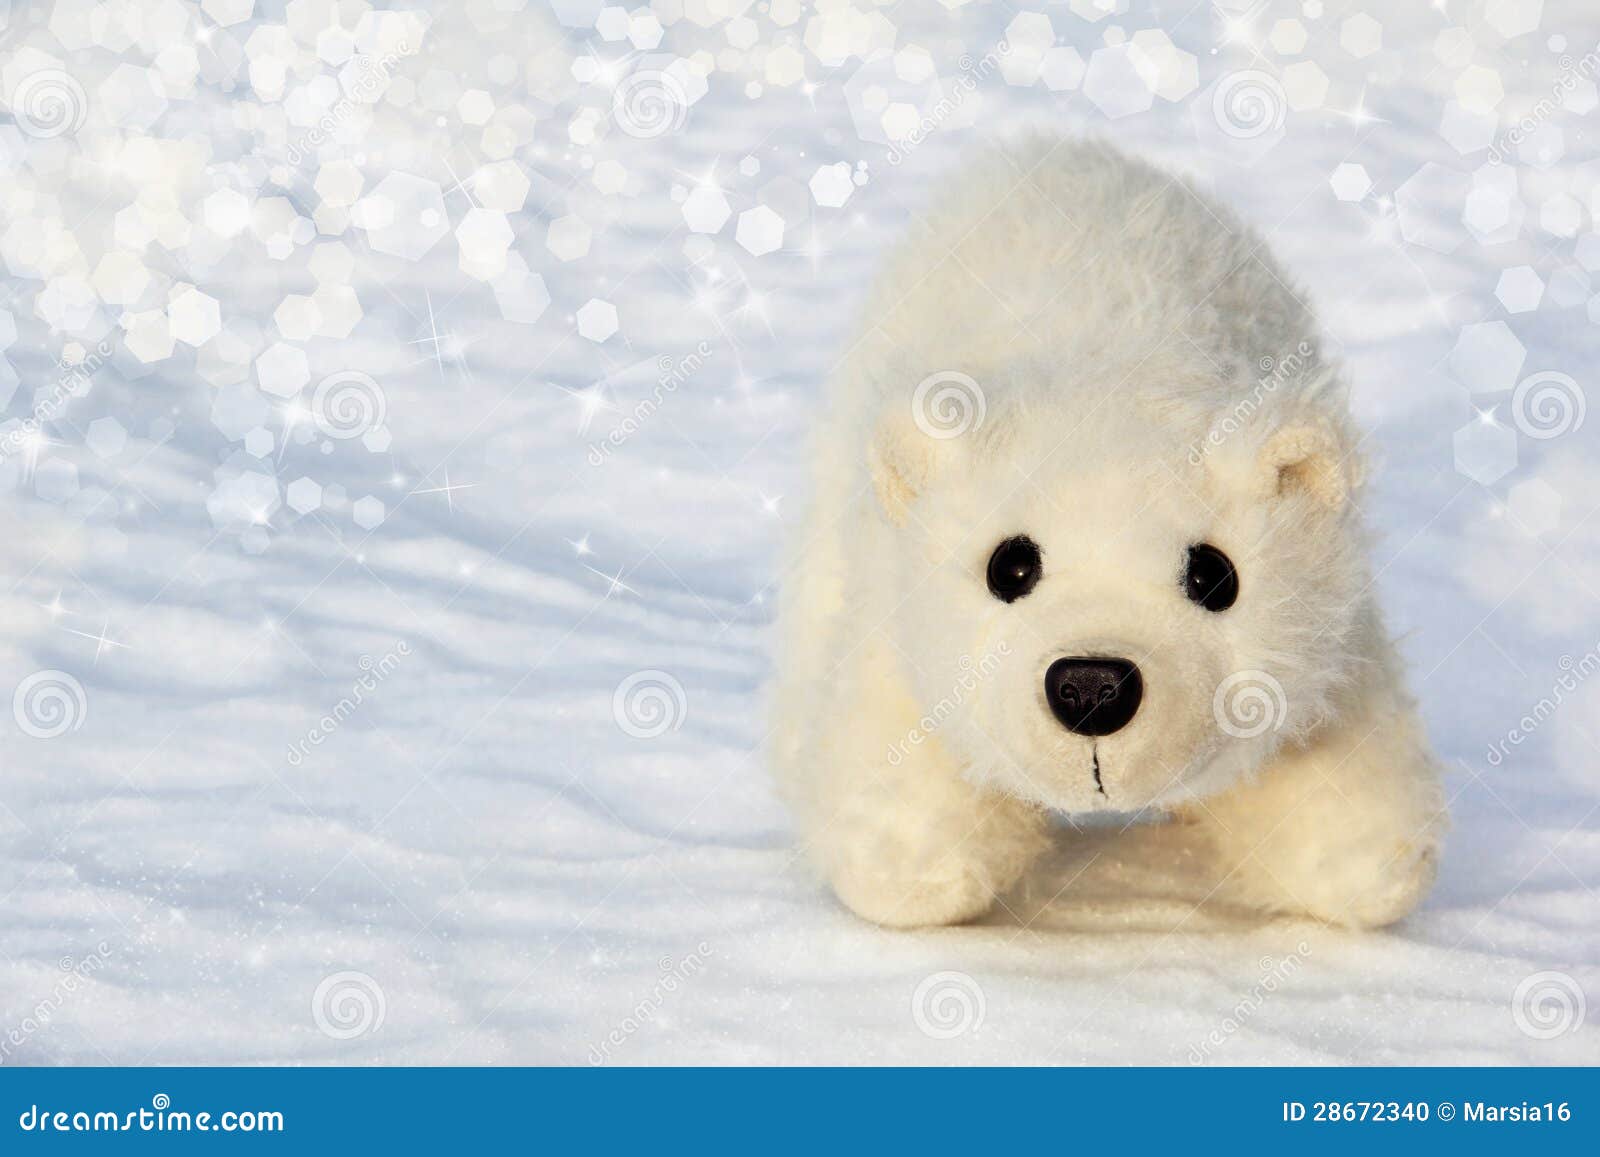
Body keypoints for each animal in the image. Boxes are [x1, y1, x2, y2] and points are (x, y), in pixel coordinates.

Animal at [770, 139, 1446, 930]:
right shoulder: (892, 597)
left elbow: (1348, 804)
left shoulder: (1335, 633)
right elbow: (900, 786)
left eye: (1214, 574)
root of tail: (1062, 149)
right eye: (1009, 566)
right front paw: (918, 866)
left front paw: (1362, 856)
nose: (1091, 688)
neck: (1118, 369)